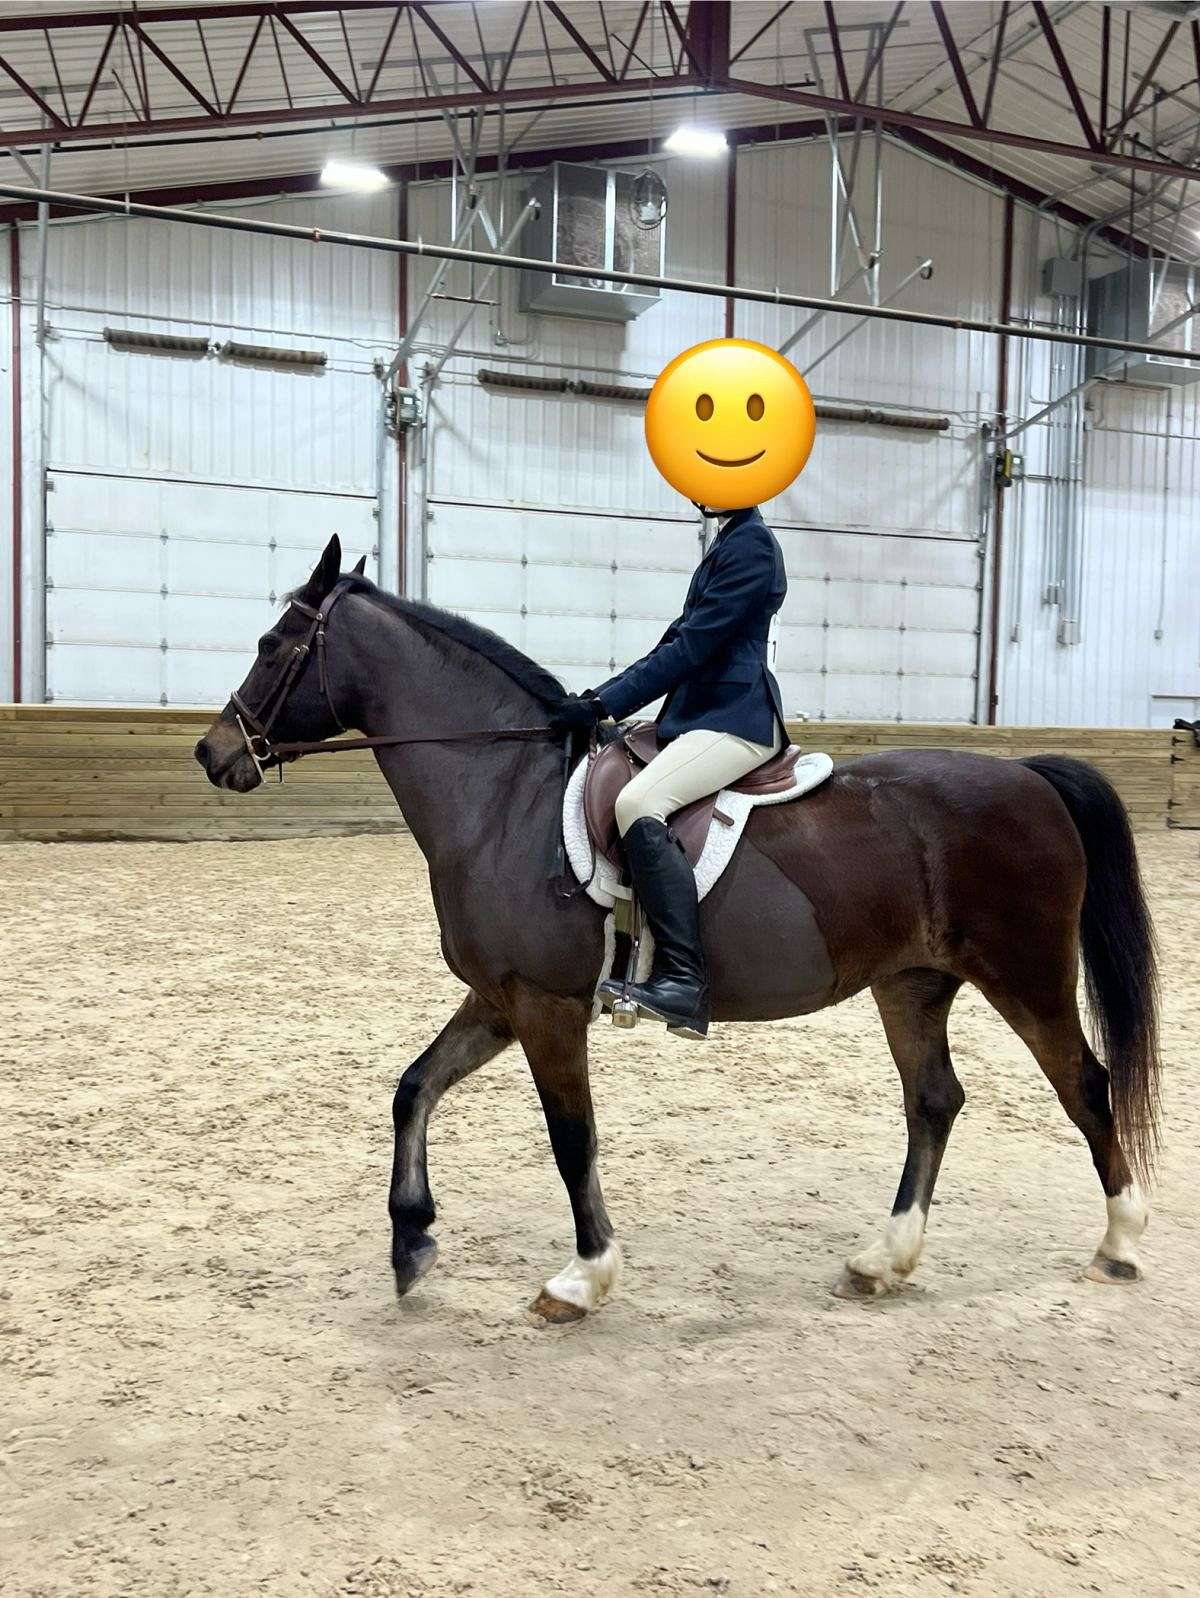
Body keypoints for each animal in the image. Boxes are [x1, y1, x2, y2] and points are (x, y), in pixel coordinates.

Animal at [195, 535, 1162, 1322]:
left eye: (273, 645)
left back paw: (1120, 1242)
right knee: (934, 1101)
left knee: (1086, 1083)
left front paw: (582, 1278)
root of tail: (1027, 776)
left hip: (1026, 974)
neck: (503, 796)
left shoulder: (546, 1005)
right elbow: (414, 1089)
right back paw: (883, 1260)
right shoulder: (501, 996)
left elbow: (571, 1137)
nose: (214, 753)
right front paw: (411, 1243)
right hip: (911, 983)